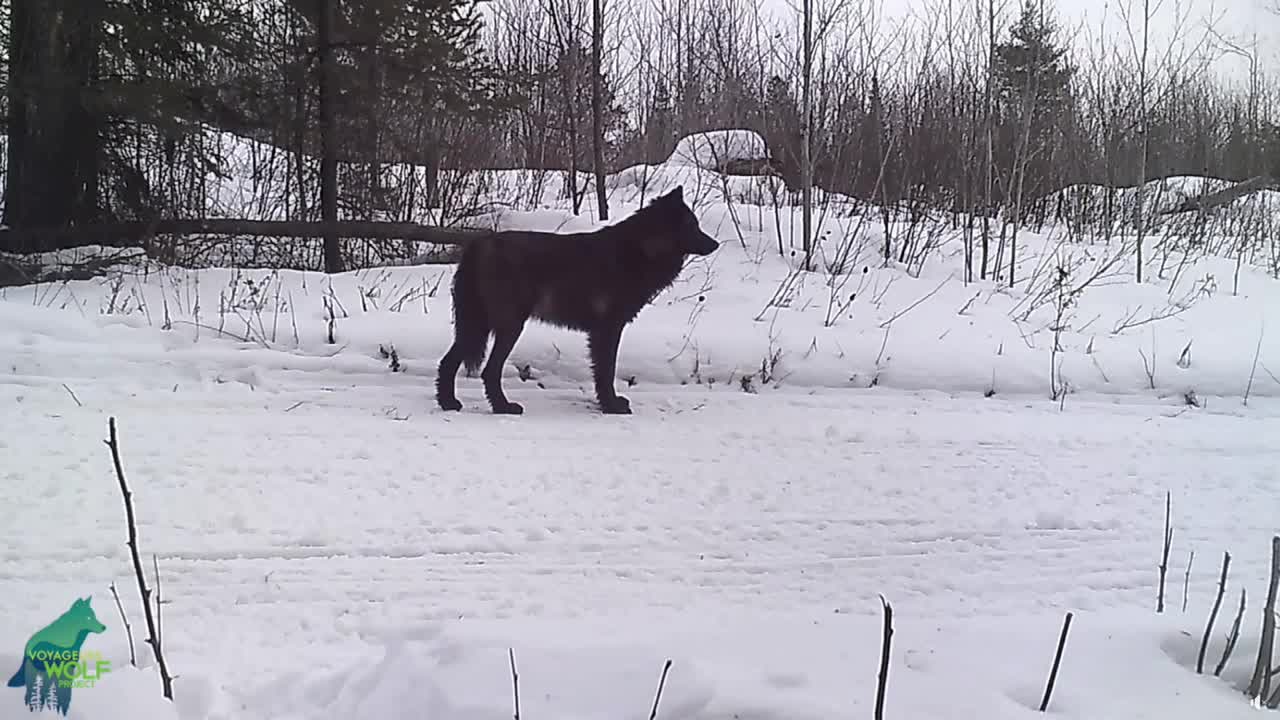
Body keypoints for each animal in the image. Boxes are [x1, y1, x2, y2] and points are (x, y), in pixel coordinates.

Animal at [435, 186, 721, 415]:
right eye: (692, 226)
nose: (716, 244)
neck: (640, 249)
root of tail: (479, 243)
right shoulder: (608, 329)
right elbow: (606, 371)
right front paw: (611, 406)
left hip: (478, 326)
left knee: (448, 361)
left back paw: (449, 403)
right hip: (508, 326)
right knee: (489, 371)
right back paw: (503, 407)